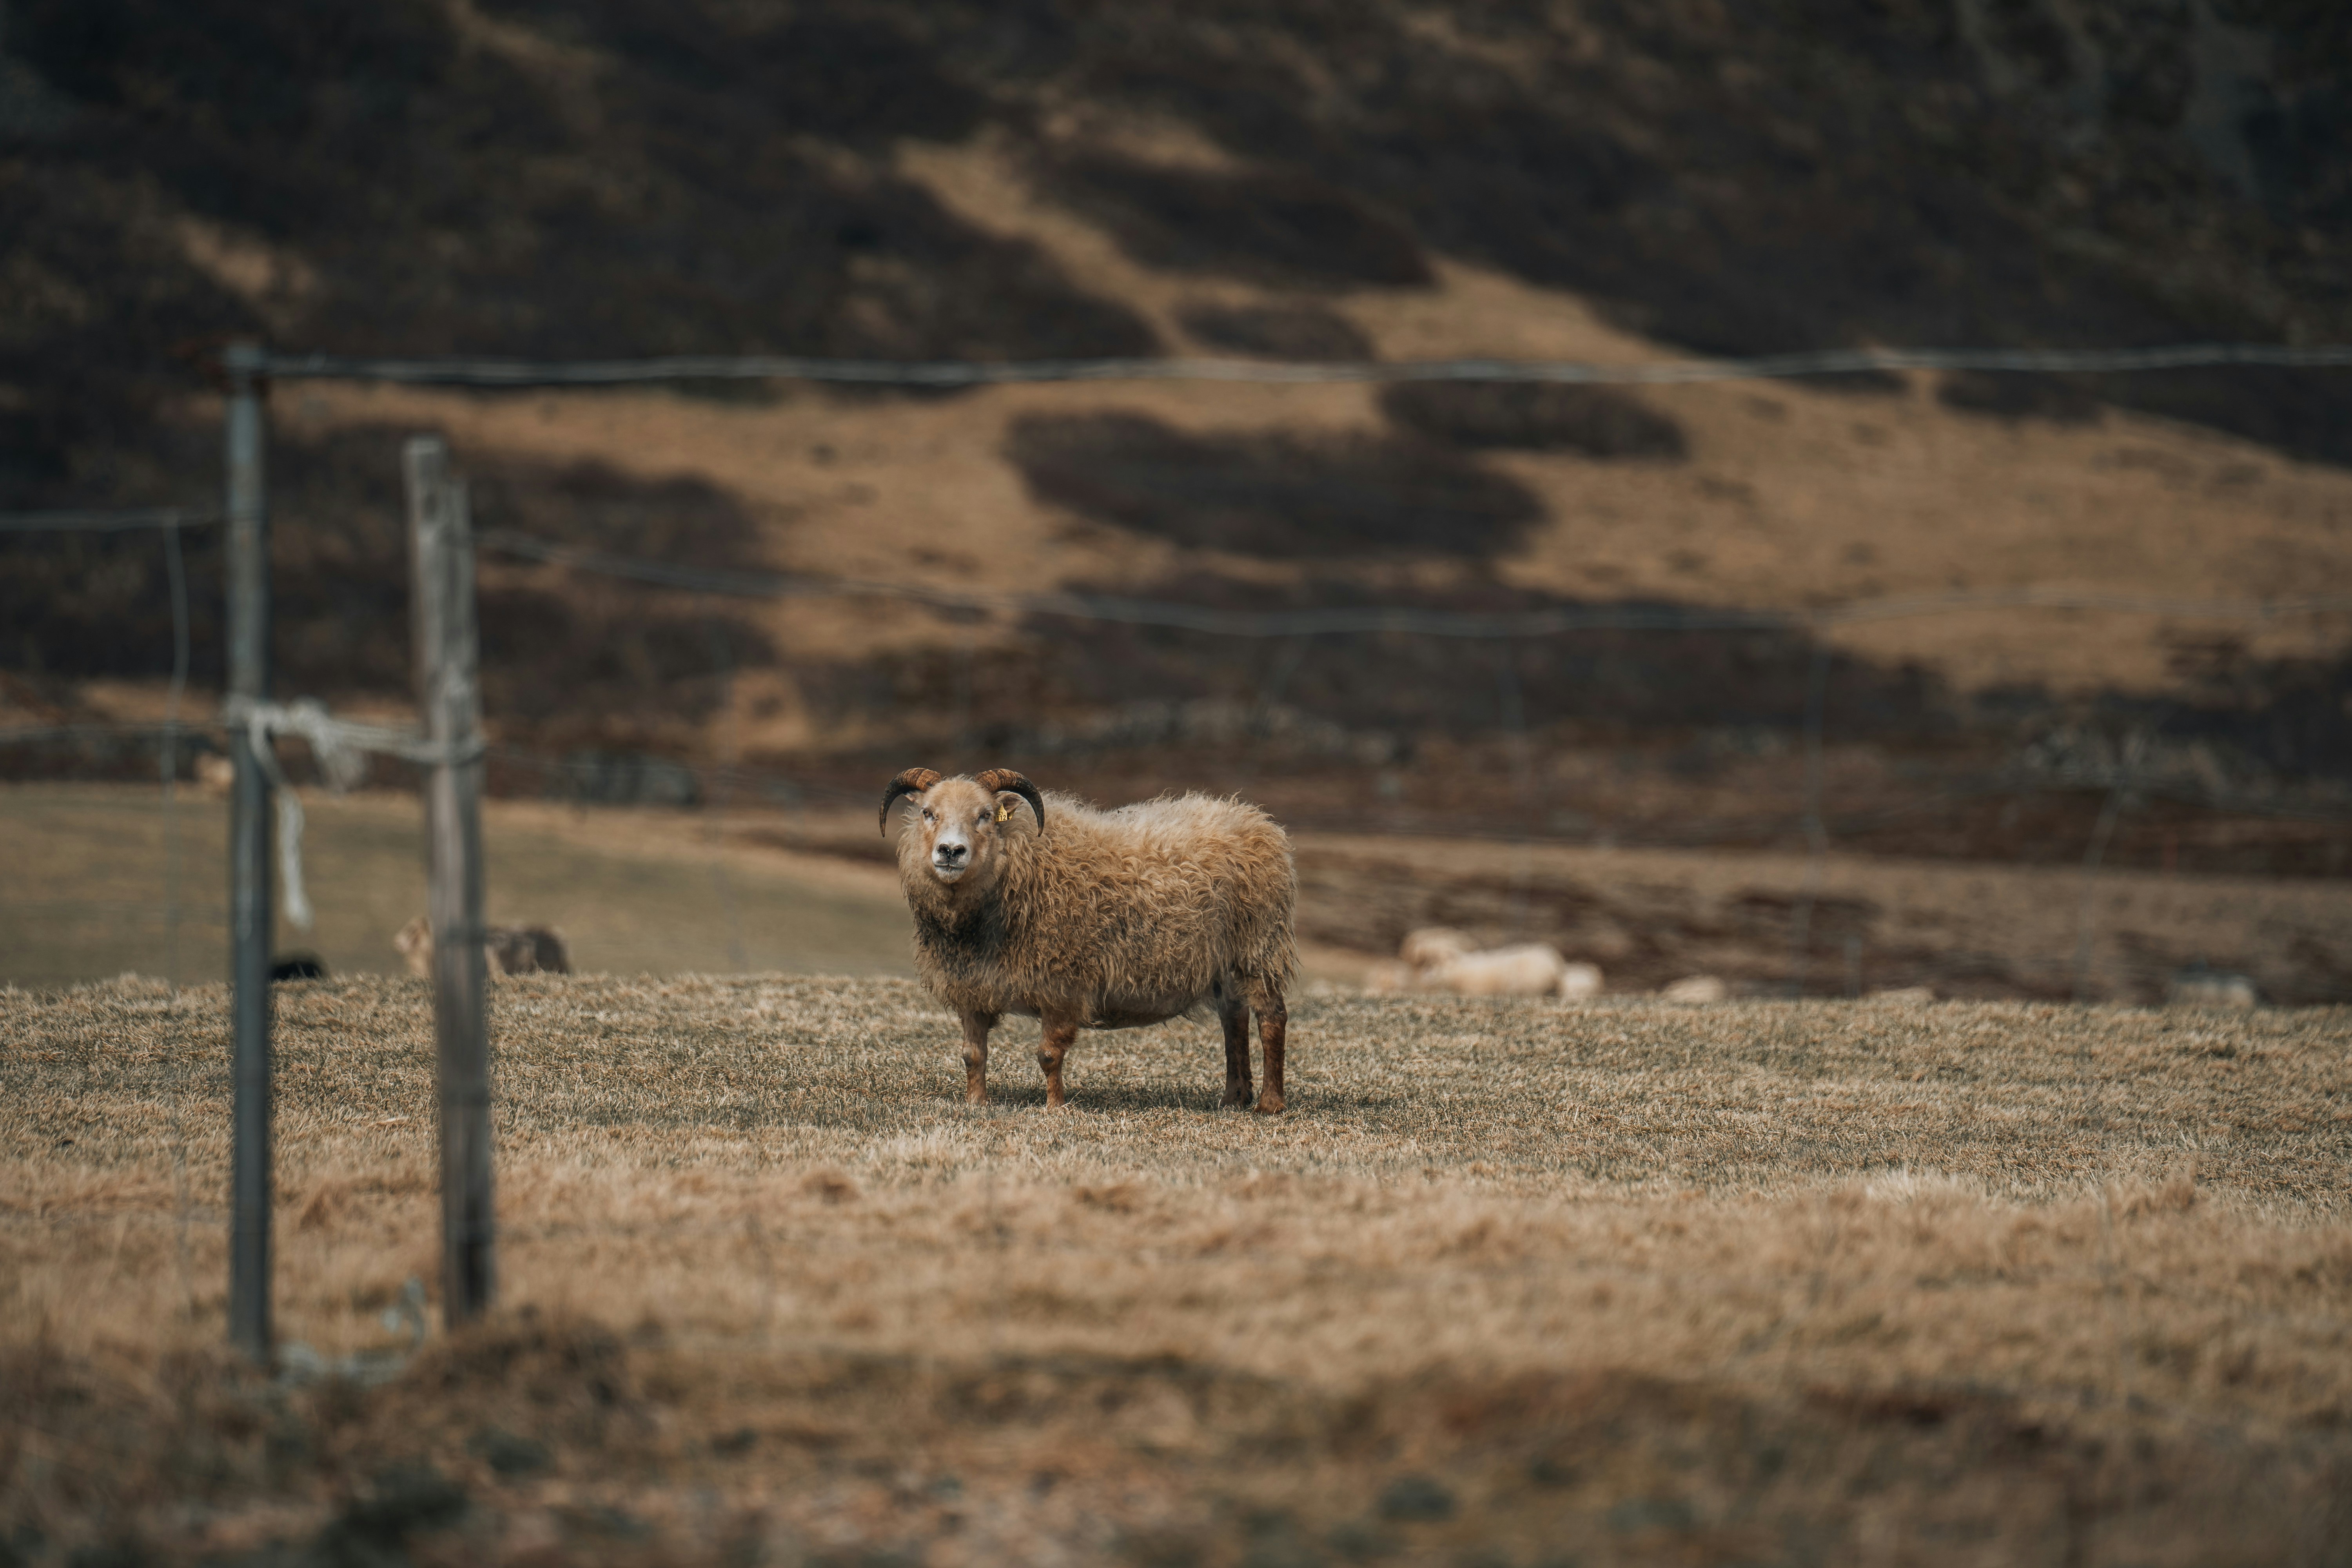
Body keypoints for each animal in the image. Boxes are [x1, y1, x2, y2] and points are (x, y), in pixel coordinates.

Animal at [880, 766, 1296, 1113]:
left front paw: (1055, 1109)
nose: (951, 851)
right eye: (928, 813)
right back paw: (1234, 1097)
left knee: (1271, 1017)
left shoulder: (1061, 984)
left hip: (1259, 946)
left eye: (984, 815)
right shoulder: (972, 988)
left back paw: (1270, 1103)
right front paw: (976, 1104)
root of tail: (1255, 819)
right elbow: (972, 1055)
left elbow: (1049, 1055)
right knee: (1235, 1018)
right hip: (1225, 962)